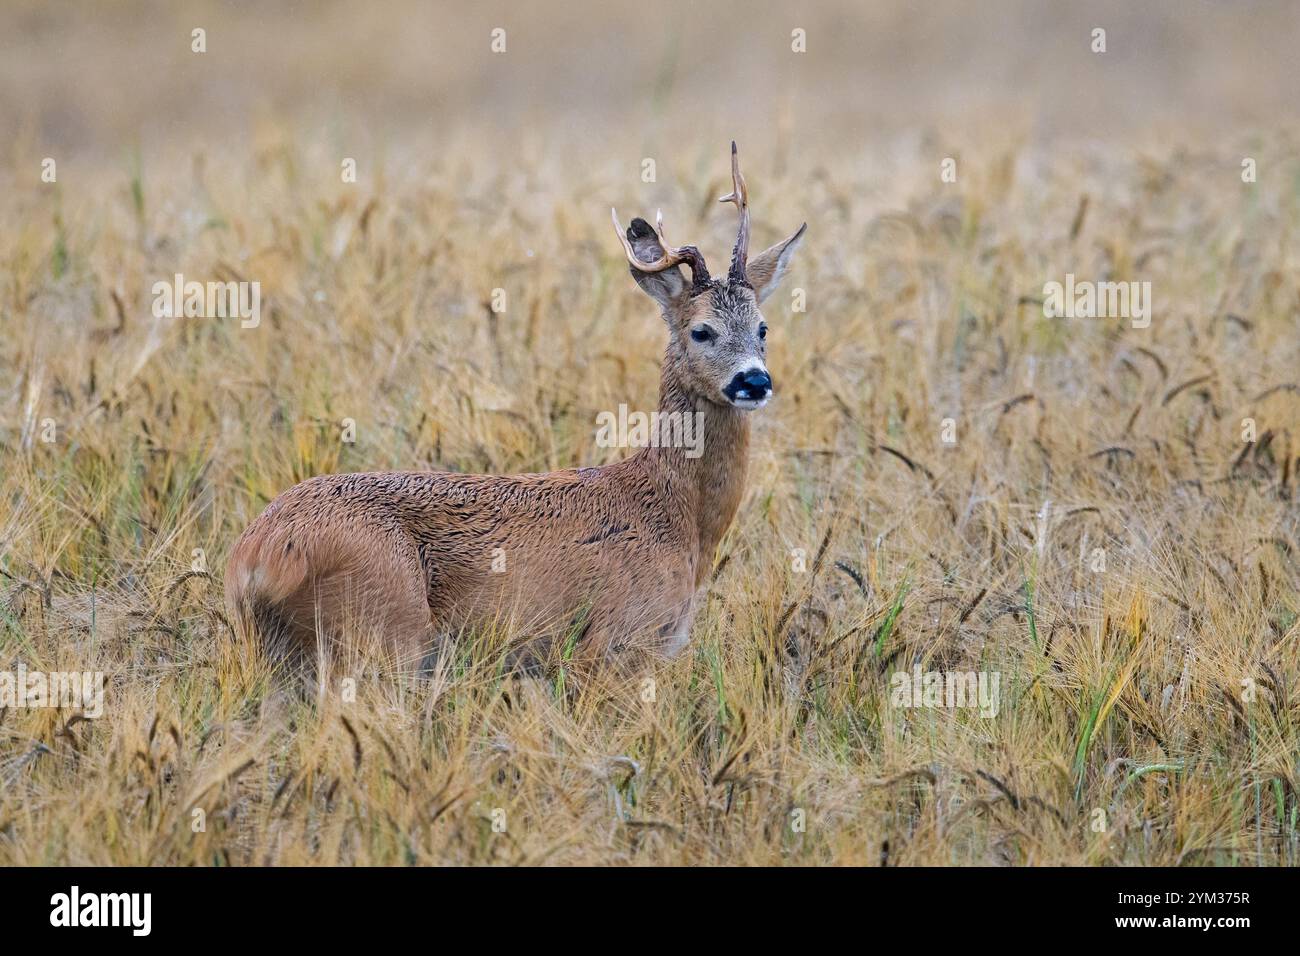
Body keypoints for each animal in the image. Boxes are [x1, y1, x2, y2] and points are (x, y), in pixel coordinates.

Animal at [224, 143, 806, 672]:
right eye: (701, 330)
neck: (676, 517)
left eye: (763, 328)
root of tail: (254, 556)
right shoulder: (611, 642)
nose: (753, 380)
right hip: (388, 628)